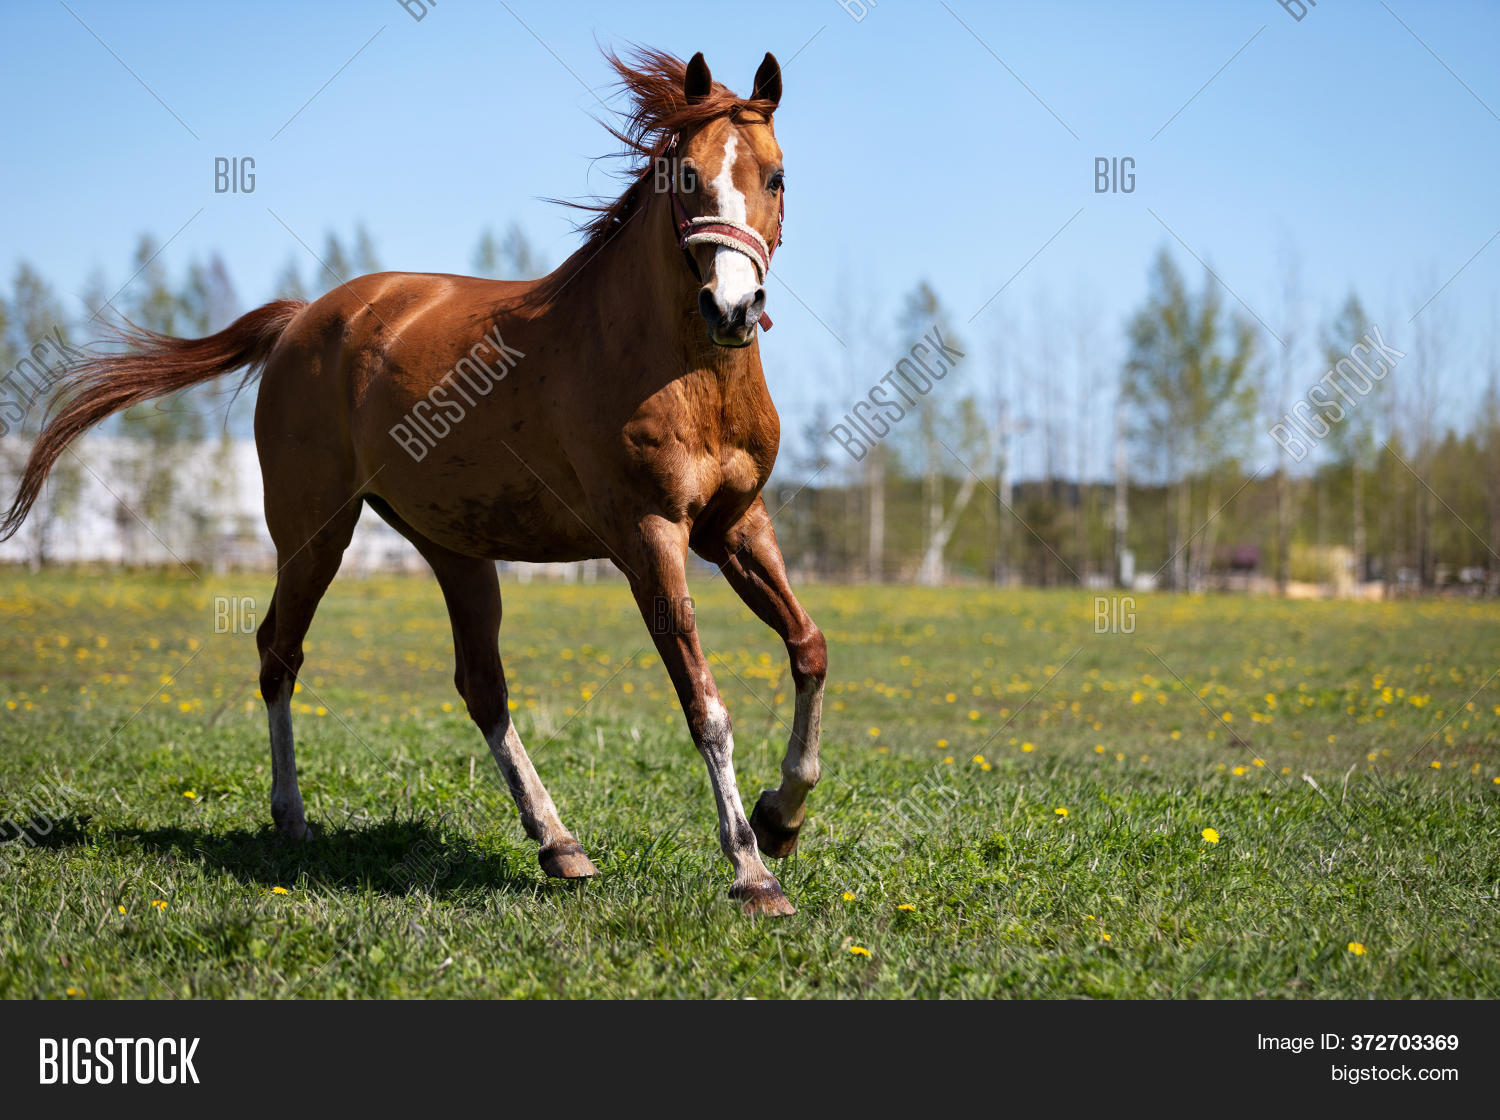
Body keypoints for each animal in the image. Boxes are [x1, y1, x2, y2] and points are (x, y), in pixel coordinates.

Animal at [0, 47, 825, 917]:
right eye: (687, 177)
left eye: (775, 177)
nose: (732, 306)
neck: (678, 369)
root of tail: (300, 320)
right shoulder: (648, 535)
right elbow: (705, 704)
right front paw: (753, 872)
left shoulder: (736, 524)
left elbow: (808, 647)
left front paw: (782, 818)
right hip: (315, 532)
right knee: (278, 653)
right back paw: (292, 817)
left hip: (453, 547)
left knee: (481, 686)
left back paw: (559, 844)